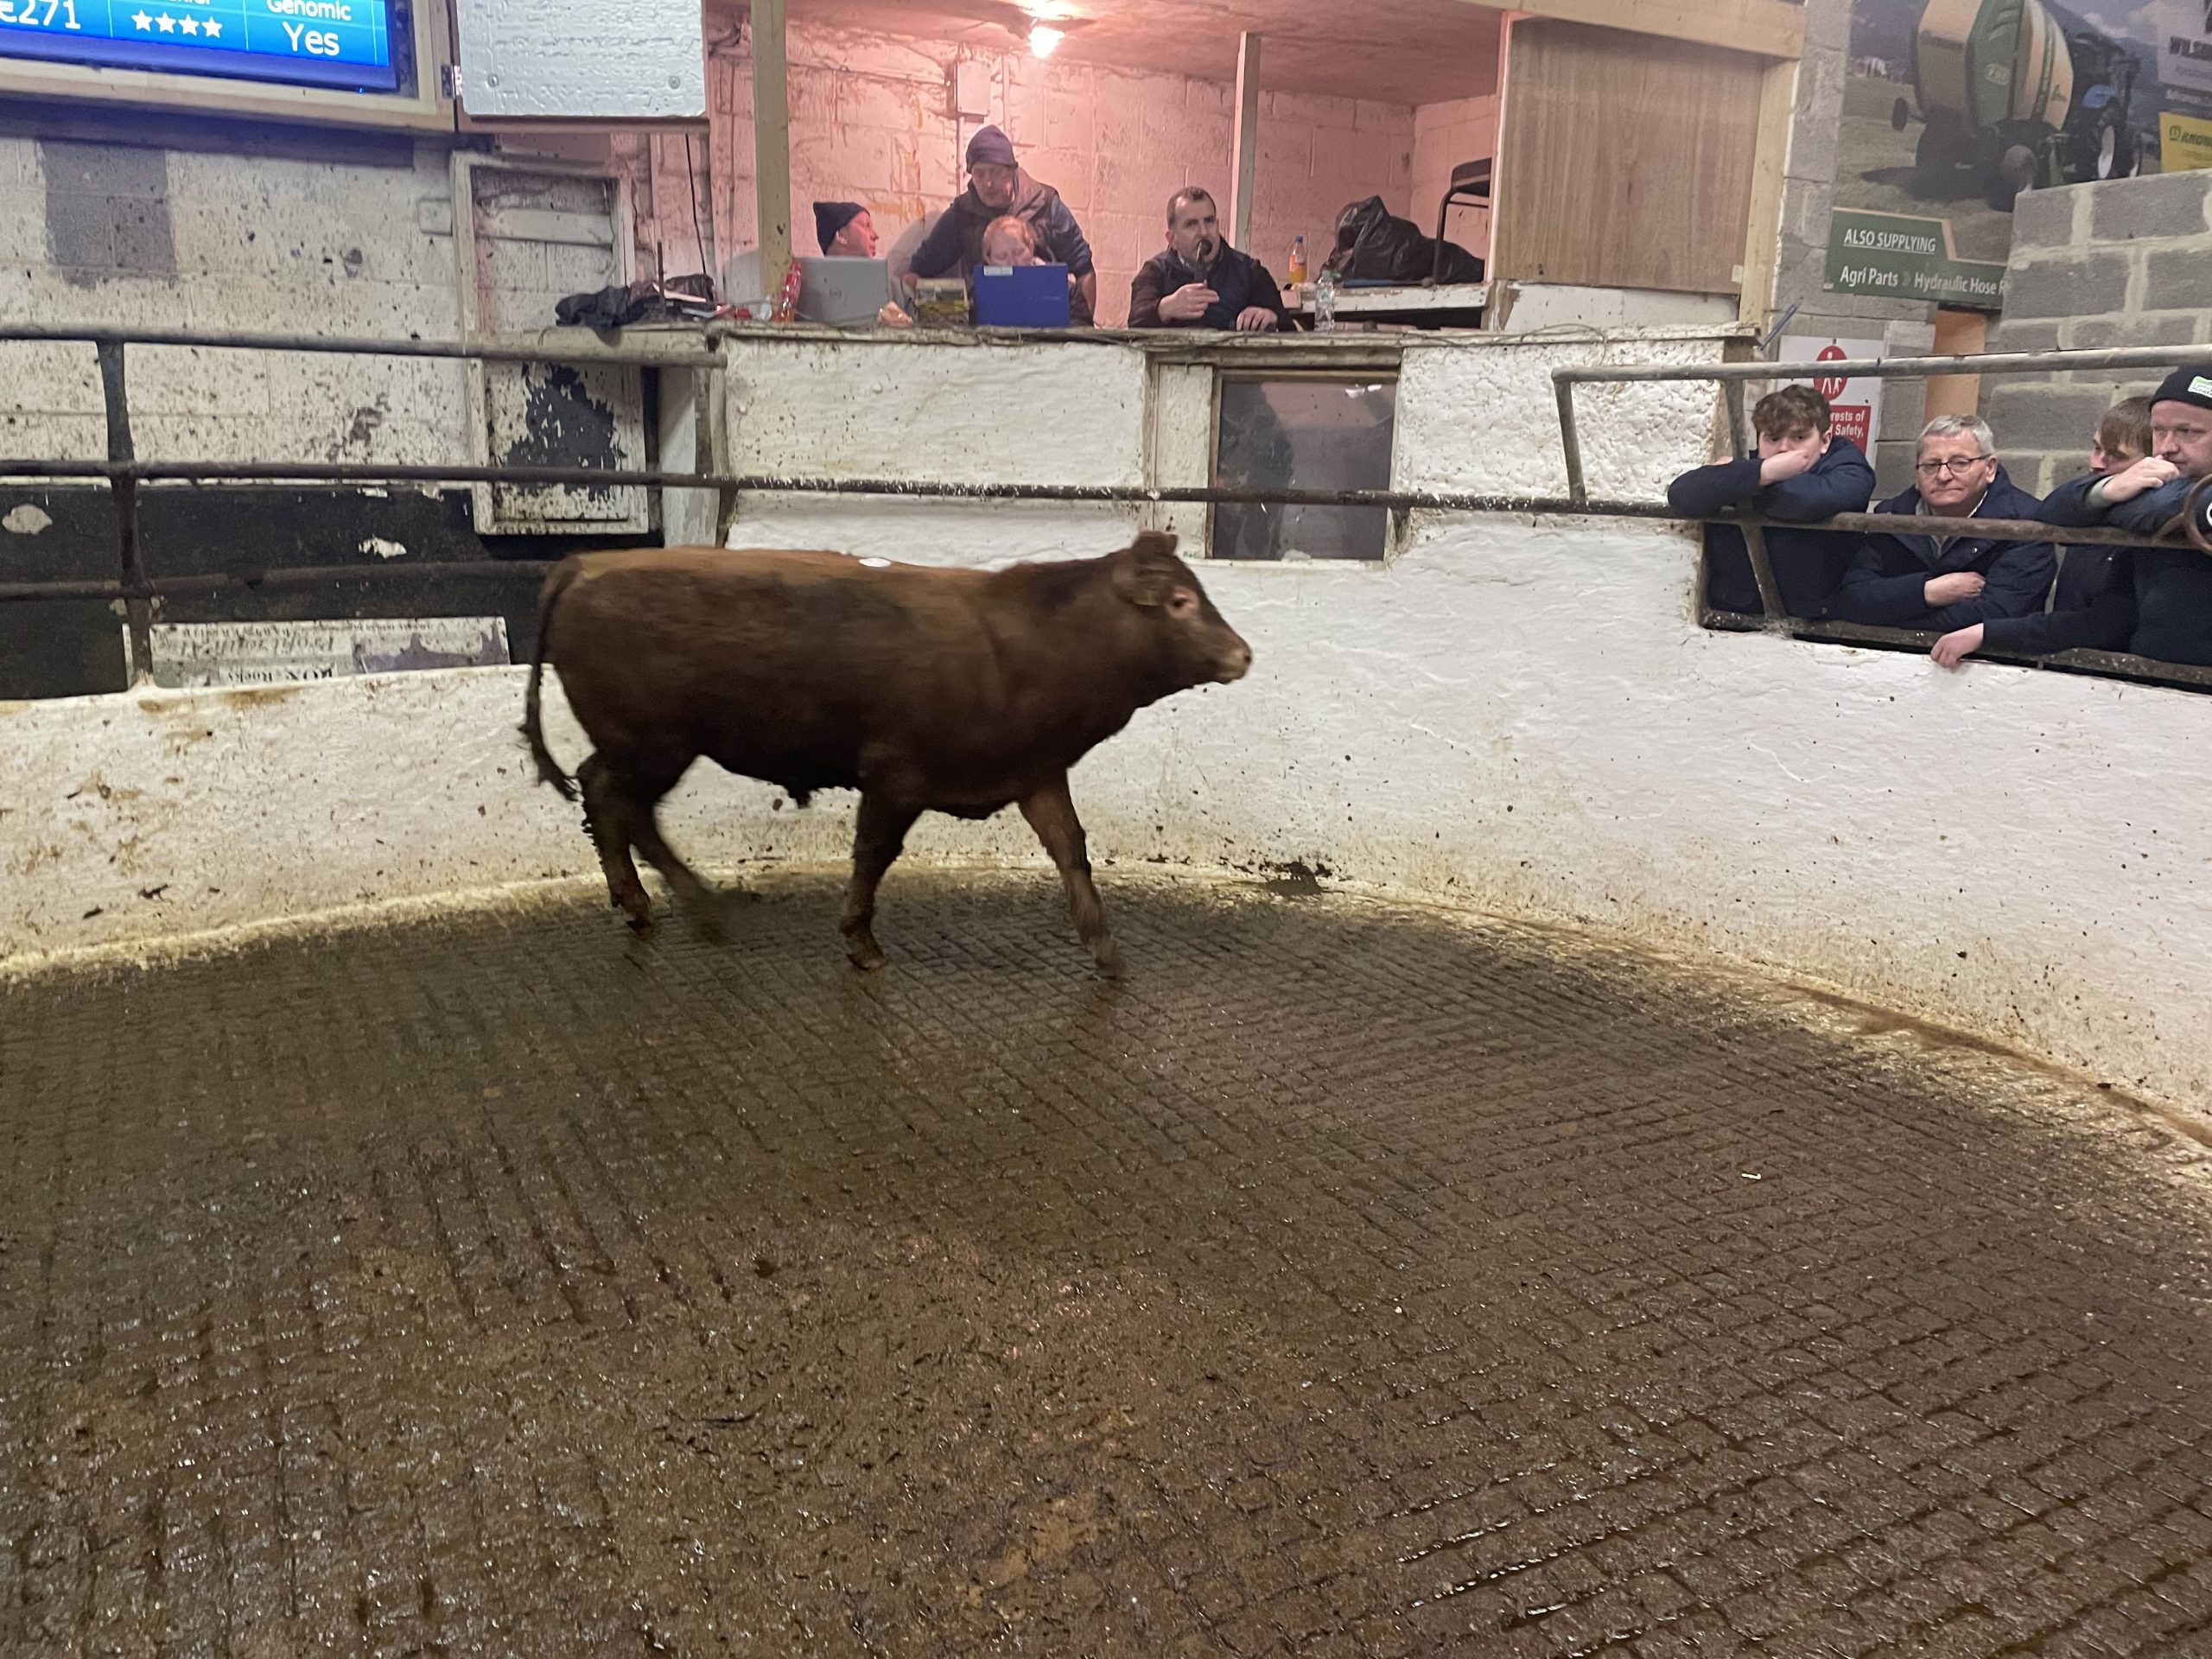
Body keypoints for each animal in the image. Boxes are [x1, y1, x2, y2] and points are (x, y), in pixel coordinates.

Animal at [520, 531, 1251, 975]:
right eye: (1180, 602)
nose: (1242, 655)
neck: (1028, 643)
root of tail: (590, 564)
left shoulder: (1035, 771)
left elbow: (1070, 848)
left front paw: (1104, 947)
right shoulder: (897, 778)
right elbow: (873, 853)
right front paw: (860, 938)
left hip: (638, 748)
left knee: (602, 795)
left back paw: (639, 902)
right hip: (656, 746)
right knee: (626, 806)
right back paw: (698, 907)